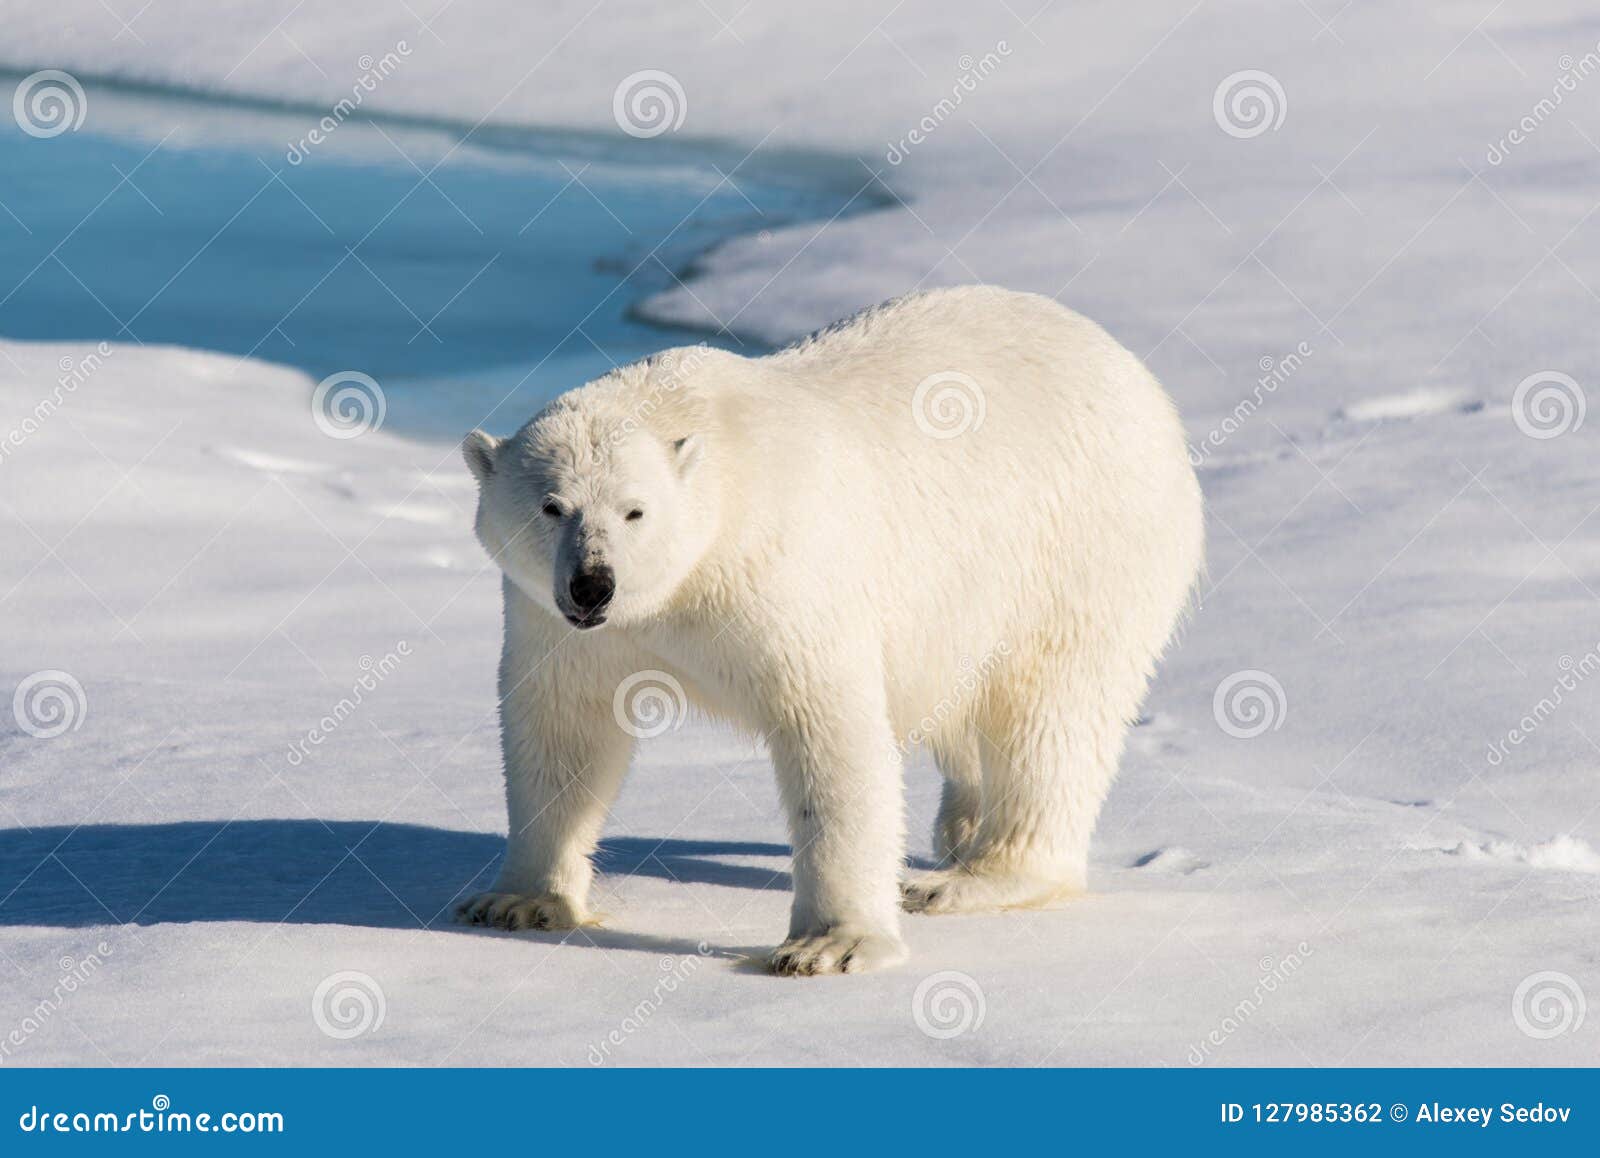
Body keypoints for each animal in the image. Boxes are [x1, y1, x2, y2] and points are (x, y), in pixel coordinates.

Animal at [455, 286, 1204, 976]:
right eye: (551, 506)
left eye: (635, 510)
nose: (593, 583)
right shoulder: (559, 621)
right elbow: (564, 726)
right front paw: (520, 901)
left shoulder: (781, 573)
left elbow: (829, 730)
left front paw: (830, 945)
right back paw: (958, 830)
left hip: (1081, 549)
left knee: (1049, 714)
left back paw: (966, 879)